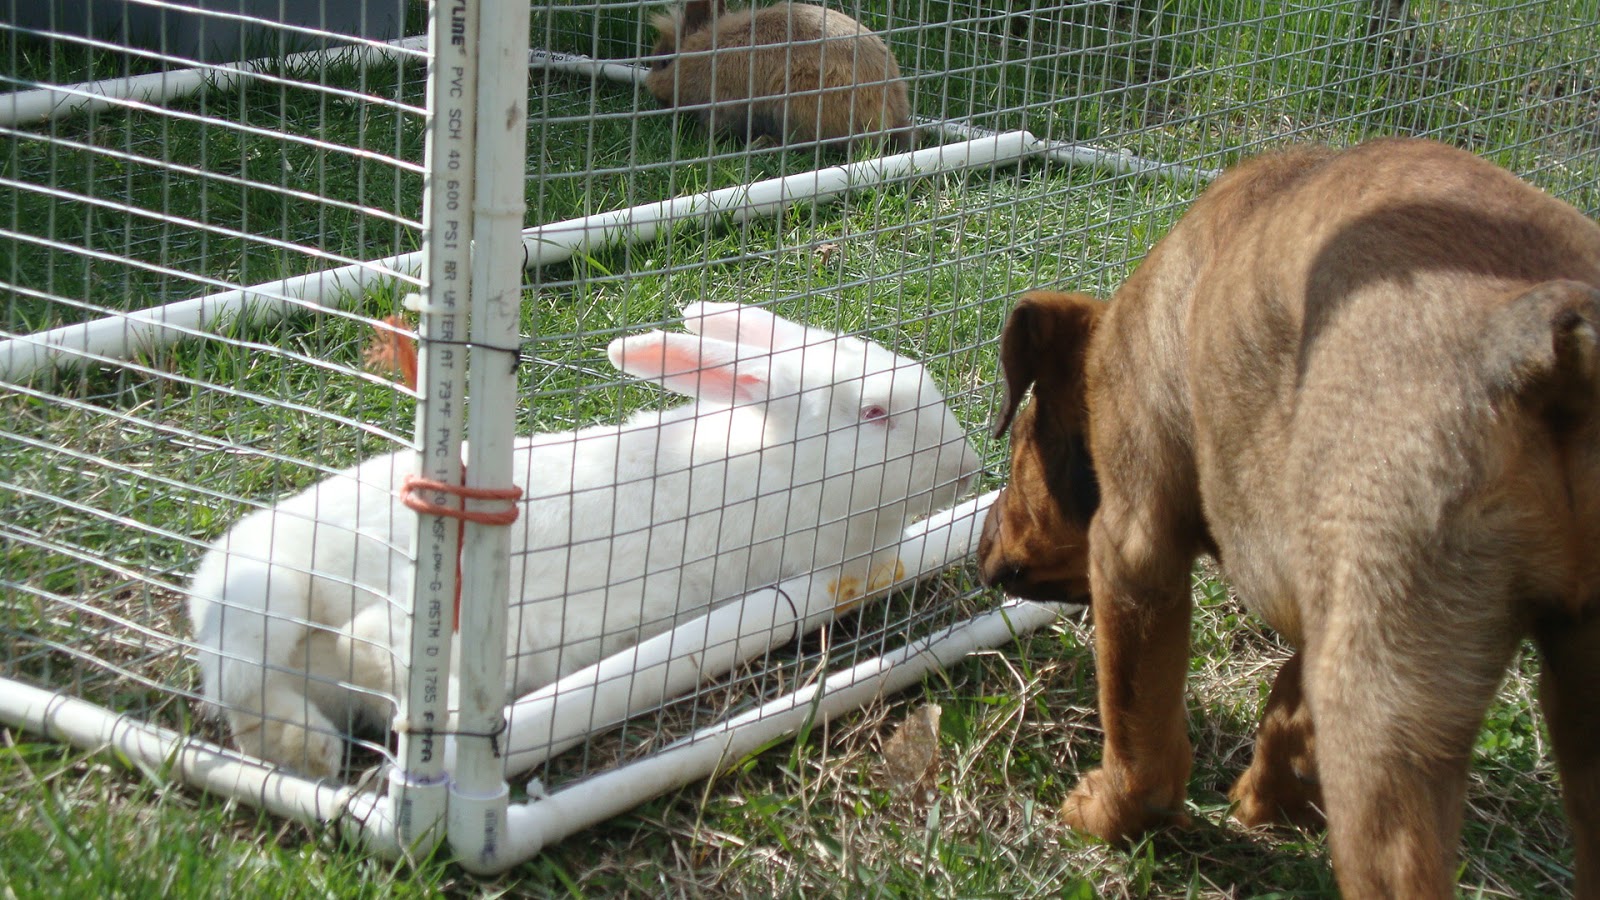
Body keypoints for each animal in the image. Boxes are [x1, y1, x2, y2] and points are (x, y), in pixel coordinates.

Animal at [187, 302, 982, 777]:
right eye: (875, 413)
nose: (968, 467)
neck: (773, 463)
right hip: (300, 597)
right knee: (292, 663)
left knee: (278, 691)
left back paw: (312, 747)